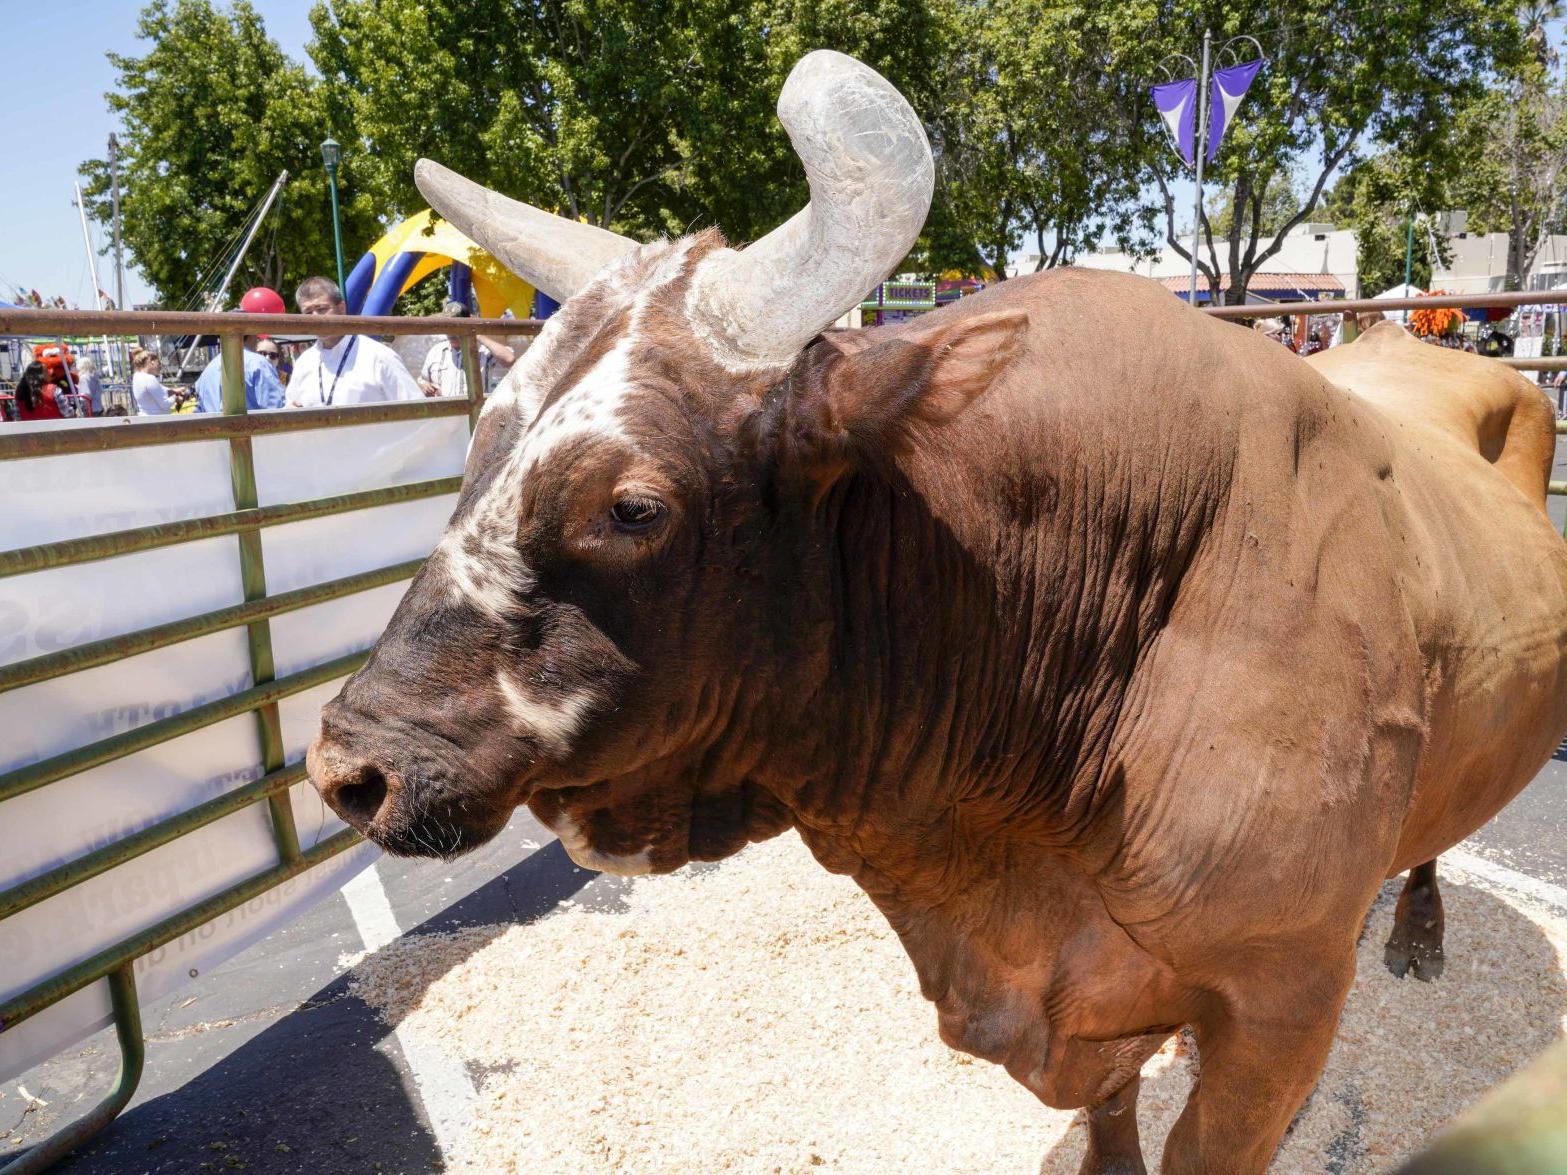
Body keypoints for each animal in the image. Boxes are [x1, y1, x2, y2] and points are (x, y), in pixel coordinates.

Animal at [307, 50, 1567, 1173]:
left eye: (631, 506)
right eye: (479, 439)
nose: (350, 766)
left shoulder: (1276, 1009)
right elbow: (1112, 1107)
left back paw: (1414, 929)